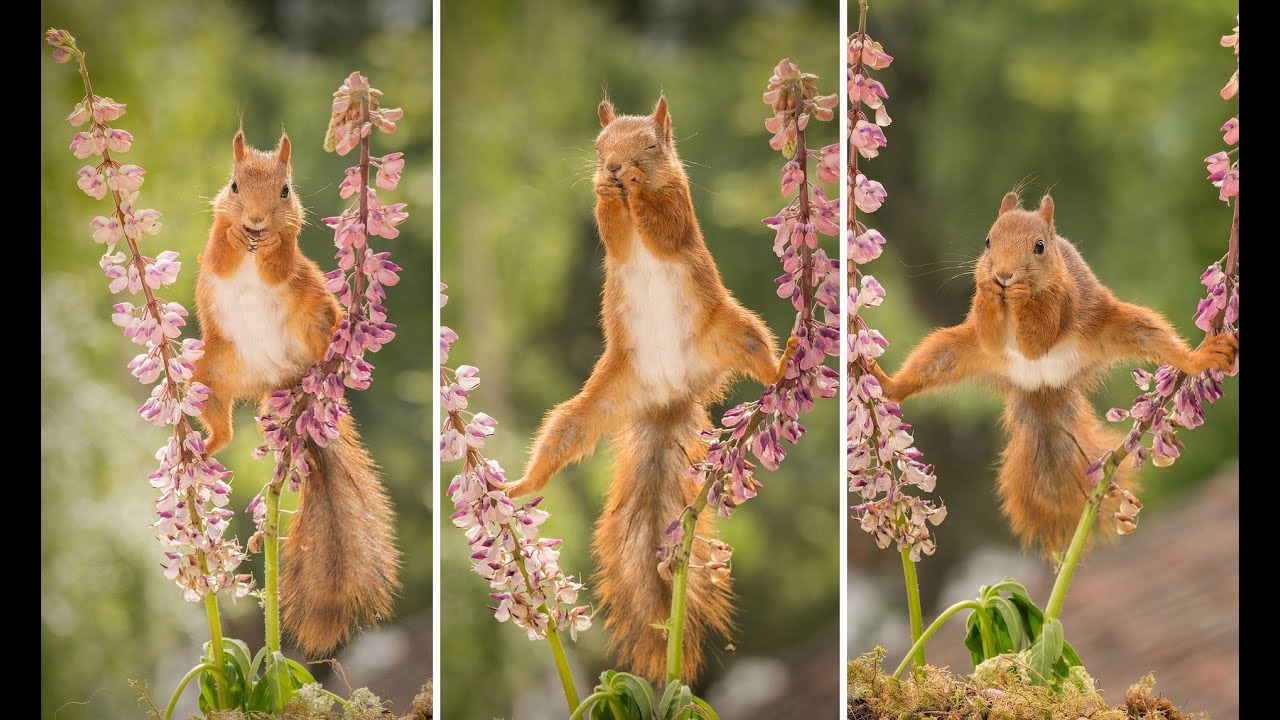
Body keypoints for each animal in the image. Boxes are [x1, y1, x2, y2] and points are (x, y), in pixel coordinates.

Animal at [192, 129, 400, 656]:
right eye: (234, 185)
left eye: (285, 190)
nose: (255, 222)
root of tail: (281, 379)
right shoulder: (214, 244)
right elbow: (217, 251)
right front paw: (234, 237)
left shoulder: (291, 253)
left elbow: (281, 260)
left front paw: (267, 244)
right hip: (210, 374)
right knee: (222, 427)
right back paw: (205, 448)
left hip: (317, 320)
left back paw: (335, 362)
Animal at [502, 96, 795, 682]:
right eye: (598, 146)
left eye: (653, 144)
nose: (616, 167)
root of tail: (666, 398)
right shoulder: (613, 235)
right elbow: (613, 232)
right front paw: (606, 191)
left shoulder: (679, 208)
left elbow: (662, 228)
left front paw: (636, 187)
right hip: (595, 401)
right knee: (560, 439)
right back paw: (518, 487)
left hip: (736, 331)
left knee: (764, 359)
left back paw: (786, 363)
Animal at [869, 191, 1237, 553]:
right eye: (987, 241)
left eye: (1040, 247)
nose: (1004, 275)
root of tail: (1042, 386)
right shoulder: (986, 336)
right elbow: (990, 334)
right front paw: (989, 289)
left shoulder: (1065, 299)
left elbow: (1039, 338)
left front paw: (1020, 295)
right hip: (952, 351)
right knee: (931, 362)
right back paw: (887, 385)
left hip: (1121, 327)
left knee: (1153, 336)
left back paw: (1199, 357)